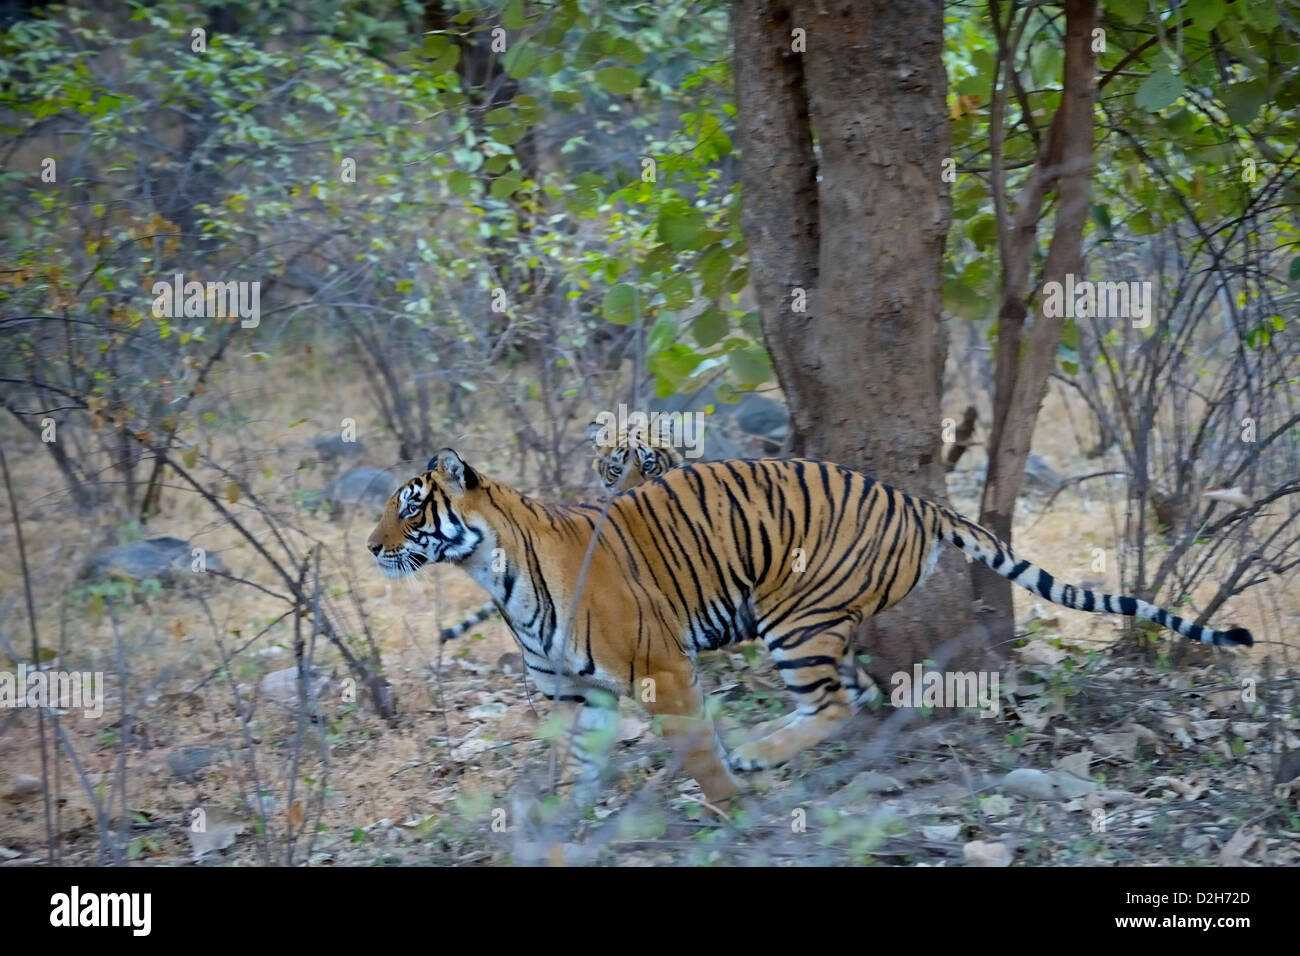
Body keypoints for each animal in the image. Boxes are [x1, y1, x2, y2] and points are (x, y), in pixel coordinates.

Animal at [368, 450, 1253, 803]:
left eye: (410, 507)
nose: (370, 547)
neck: (495, 572)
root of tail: (919, 502)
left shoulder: (662, 668)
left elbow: (695, 754)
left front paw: (728, 805)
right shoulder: (577, 699)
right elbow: (572, 771)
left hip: (795, 616)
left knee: (832, 701)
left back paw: (756, 755)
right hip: (818, 627)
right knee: (853, 696)